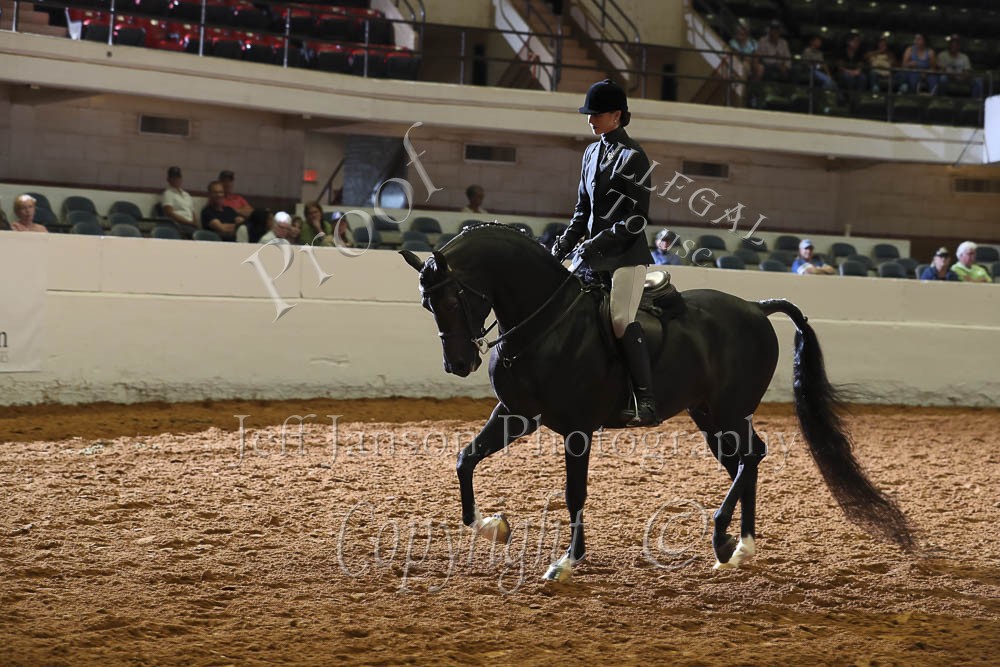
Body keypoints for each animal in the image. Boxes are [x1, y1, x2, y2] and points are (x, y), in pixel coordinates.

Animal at [399, 222, 913, 582]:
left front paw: (566, 562)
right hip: (710, 415)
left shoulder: (577, 429)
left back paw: (724, 538)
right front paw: (493, 526)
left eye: (453, 299)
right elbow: (465, 459)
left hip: (727, 411)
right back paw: (740, 546)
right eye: (427, 304)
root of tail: (756, 308)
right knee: (746, 460)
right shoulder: (518, 414)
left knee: (751, 456)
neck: (545, 322)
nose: (458, 363)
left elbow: (574, 493)